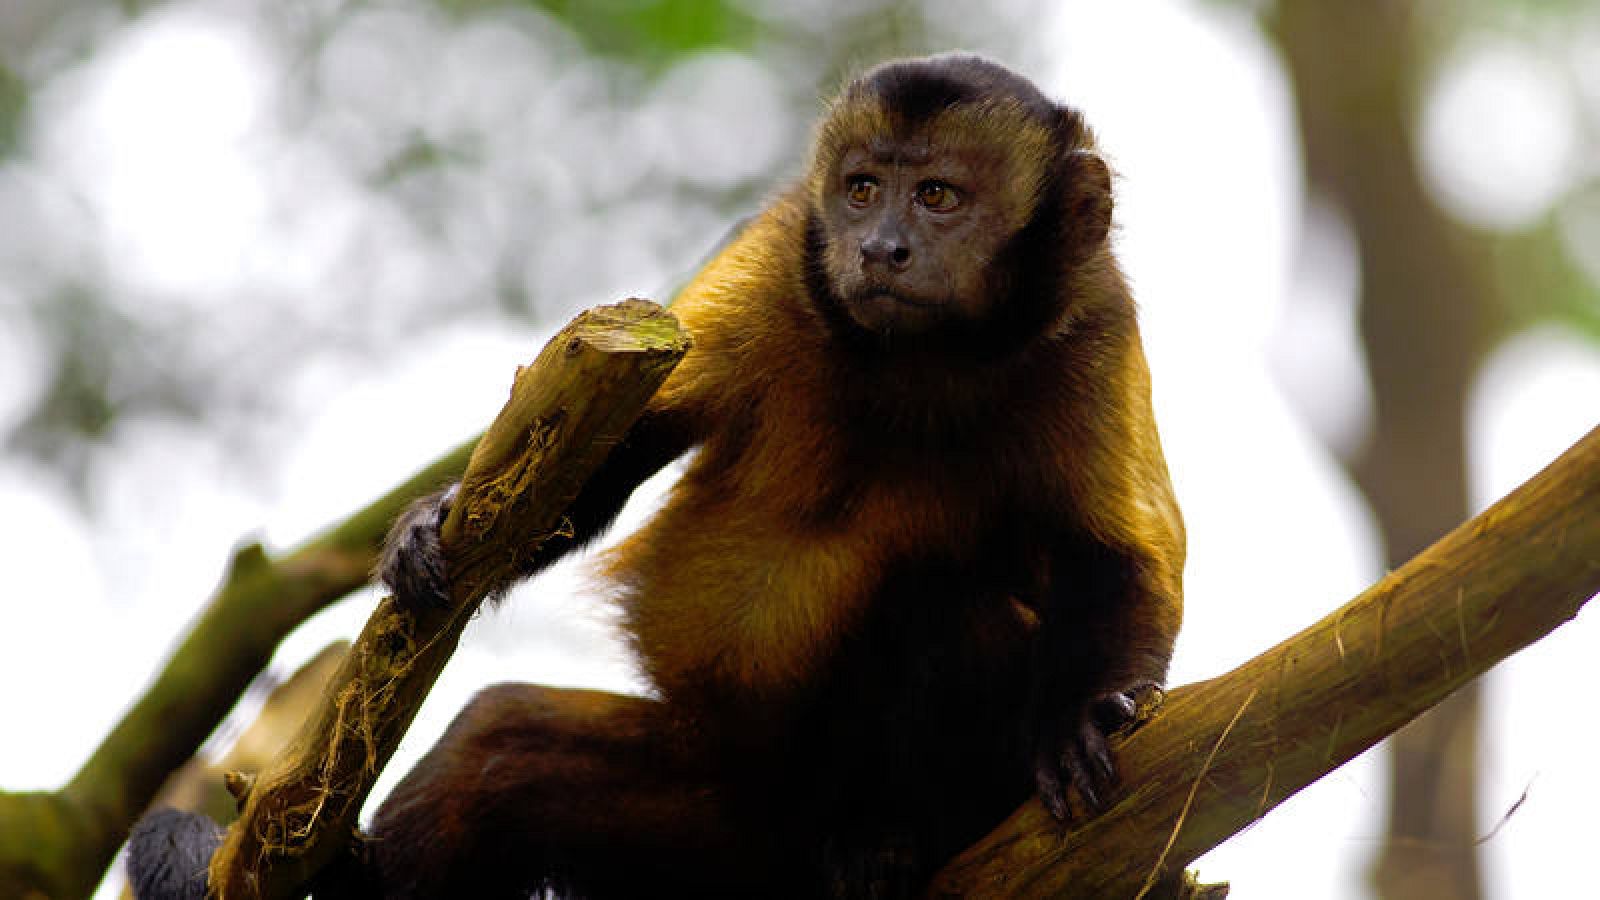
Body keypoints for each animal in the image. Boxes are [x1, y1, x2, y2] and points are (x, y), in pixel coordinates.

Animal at [127, 53, 1183, 900]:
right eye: (861, 188)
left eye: (937, 198)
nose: (880, 247)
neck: (925, 358)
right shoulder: (780, 254)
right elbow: (608, 448)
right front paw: (434, 520)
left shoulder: (1094, 323)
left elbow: (1123, 558)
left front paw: (1085, 716)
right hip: (713, 821)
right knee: (495, 746)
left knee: (940, 606)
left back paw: (886, 841)